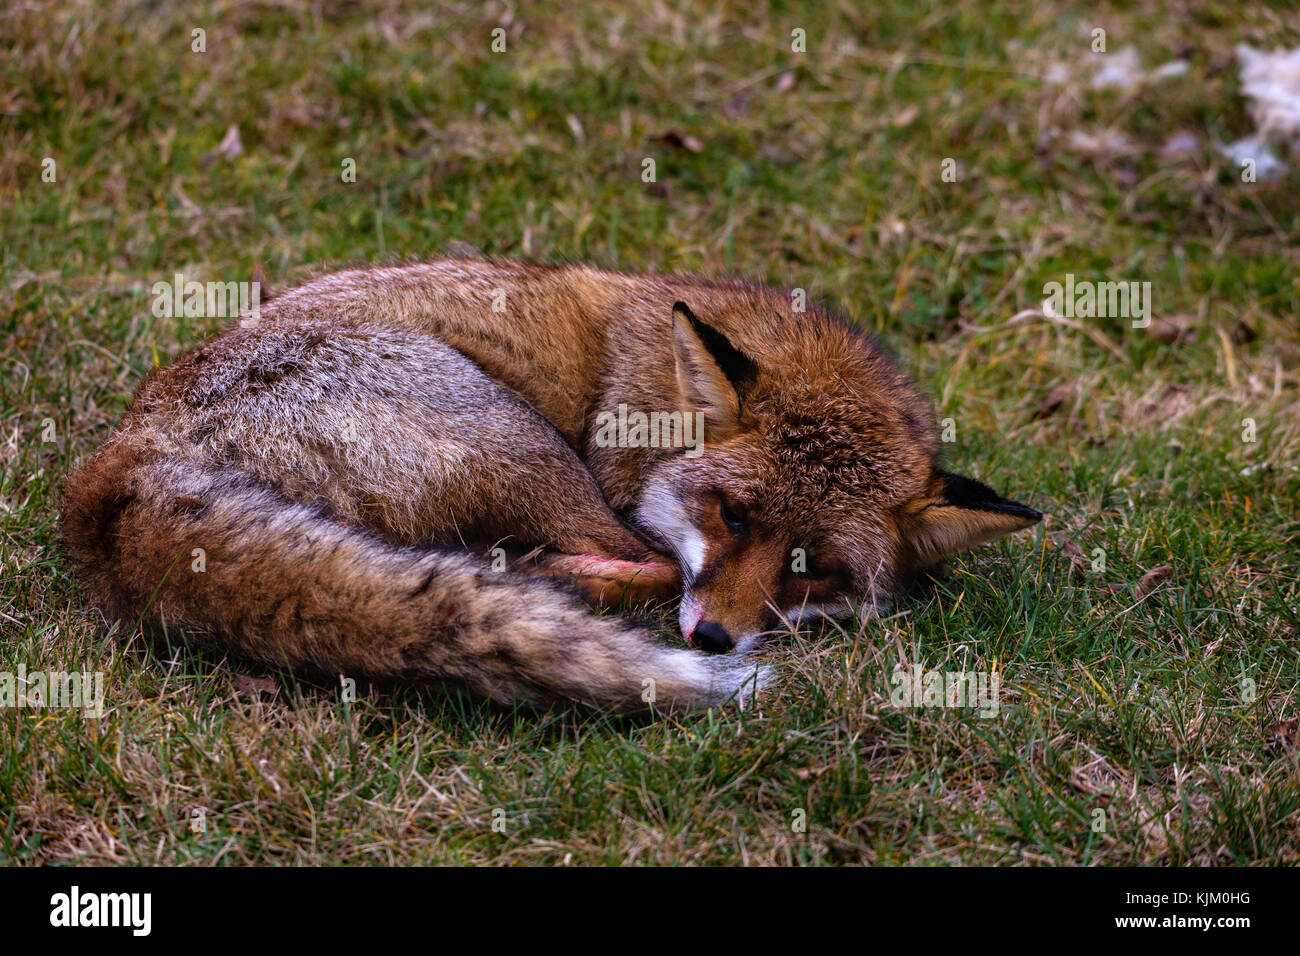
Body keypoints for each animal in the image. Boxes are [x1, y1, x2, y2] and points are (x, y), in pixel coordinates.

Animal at [61, 257, 1041, 712]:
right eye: (728, 514)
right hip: (522, 445)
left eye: (813, 568)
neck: (641, 396)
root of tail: (114, 473)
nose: (714, 638)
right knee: (590, 564)